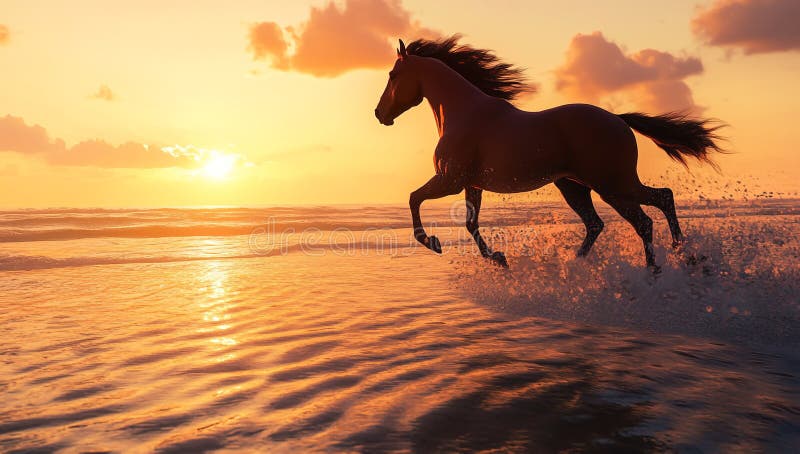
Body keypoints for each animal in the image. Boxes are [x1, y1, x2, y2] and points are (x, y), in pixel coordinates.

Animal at [374, 36, 724, 270]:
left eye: (392, 76)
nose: (379, 114)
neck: (463, 112)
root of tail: (619, 120)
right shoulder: (470, 184)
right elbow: (471, 224)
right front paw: (499, 259)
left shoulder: (449, 180)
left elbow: (414, 198)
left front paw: (432, 243)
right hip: (575, 186)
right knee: (605, 221)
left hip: (612, 185)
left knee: (650, 213)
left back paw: (660, 266)